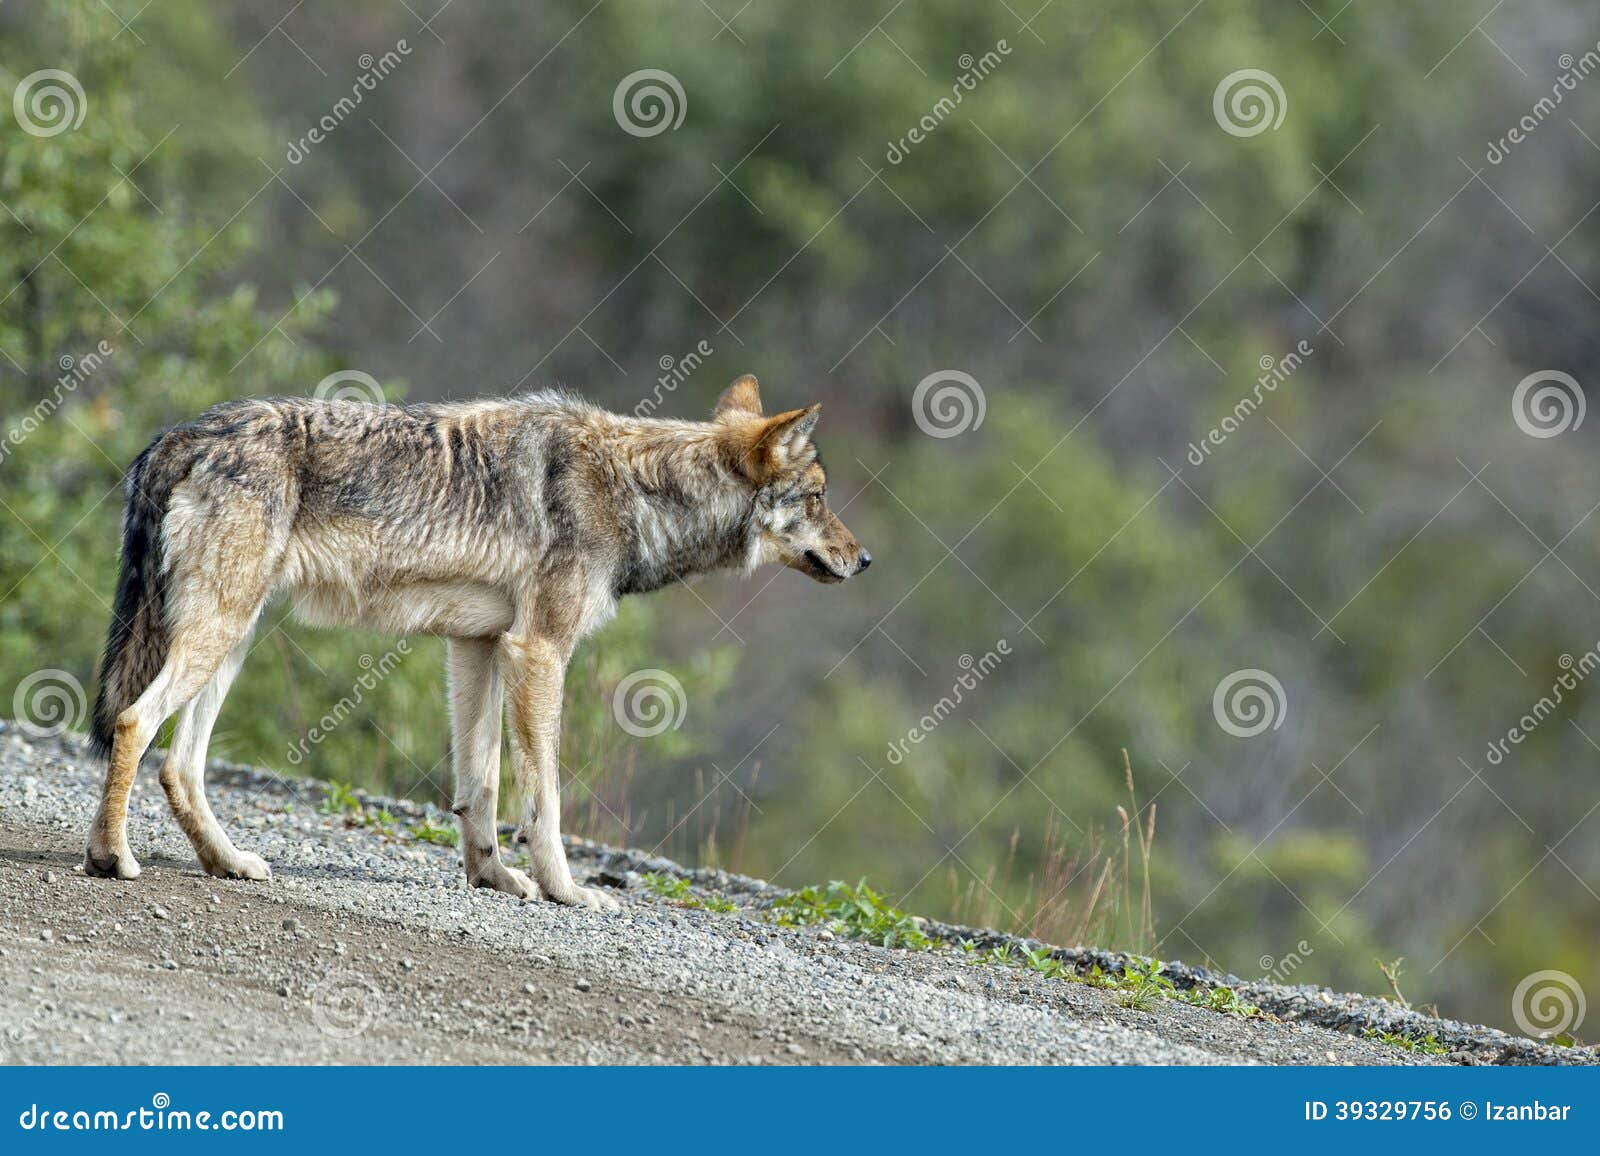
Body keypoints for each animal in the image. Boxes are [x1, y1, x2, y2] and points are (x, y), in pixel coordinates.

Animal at [85, 375, 869, 911]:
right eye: (820, 498)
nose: (865, 561)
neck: (636, 489)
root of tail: (184, 431)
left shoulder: (478, 645)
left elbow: (481, 786)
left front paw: (491, 876)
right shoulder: (539, 650)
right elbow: (545, 799)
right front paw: (567, 891)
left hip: (232, 640)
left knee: (180, 766)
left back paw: (227, 862)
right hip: (218, 633)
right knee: (134, 724)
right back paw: (109, 857)